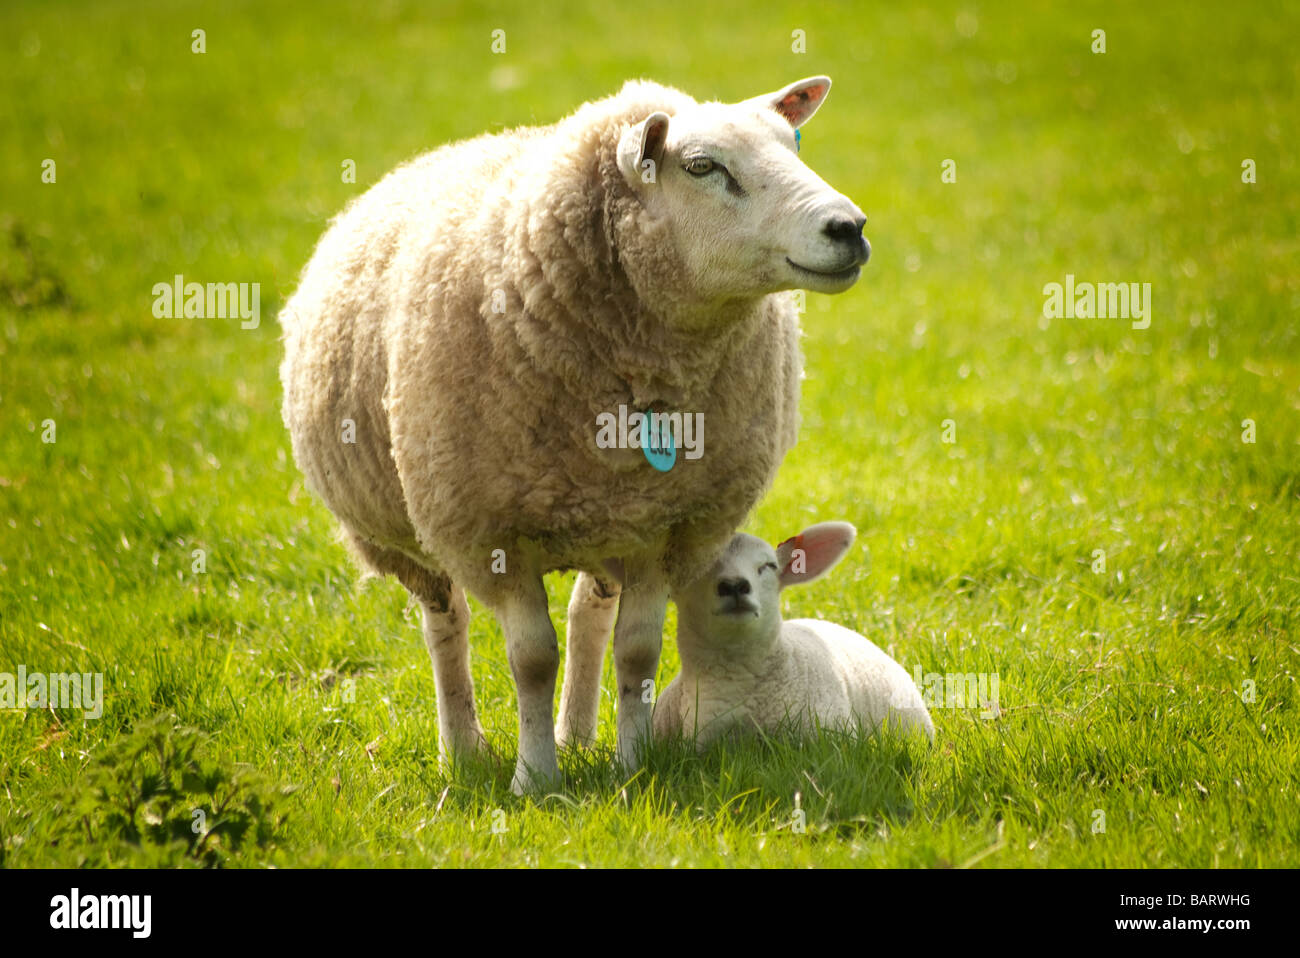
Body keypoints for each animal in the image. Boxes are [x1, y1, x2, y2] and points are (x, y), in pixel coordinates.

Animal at [278, 77, 870, 793]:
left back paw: (578, 733)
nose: (850, 228)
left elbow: (637, 653)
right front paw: (534, 779)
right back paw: (463, 751)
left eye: (793, 144)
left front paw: (633, 767)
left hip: (612, 522)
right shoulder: (492, 535)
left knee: (589, 615)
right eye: (702, 166)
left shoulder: (667, 529)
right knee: (446, 622)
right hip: (412, 532)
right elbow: (532, 658)